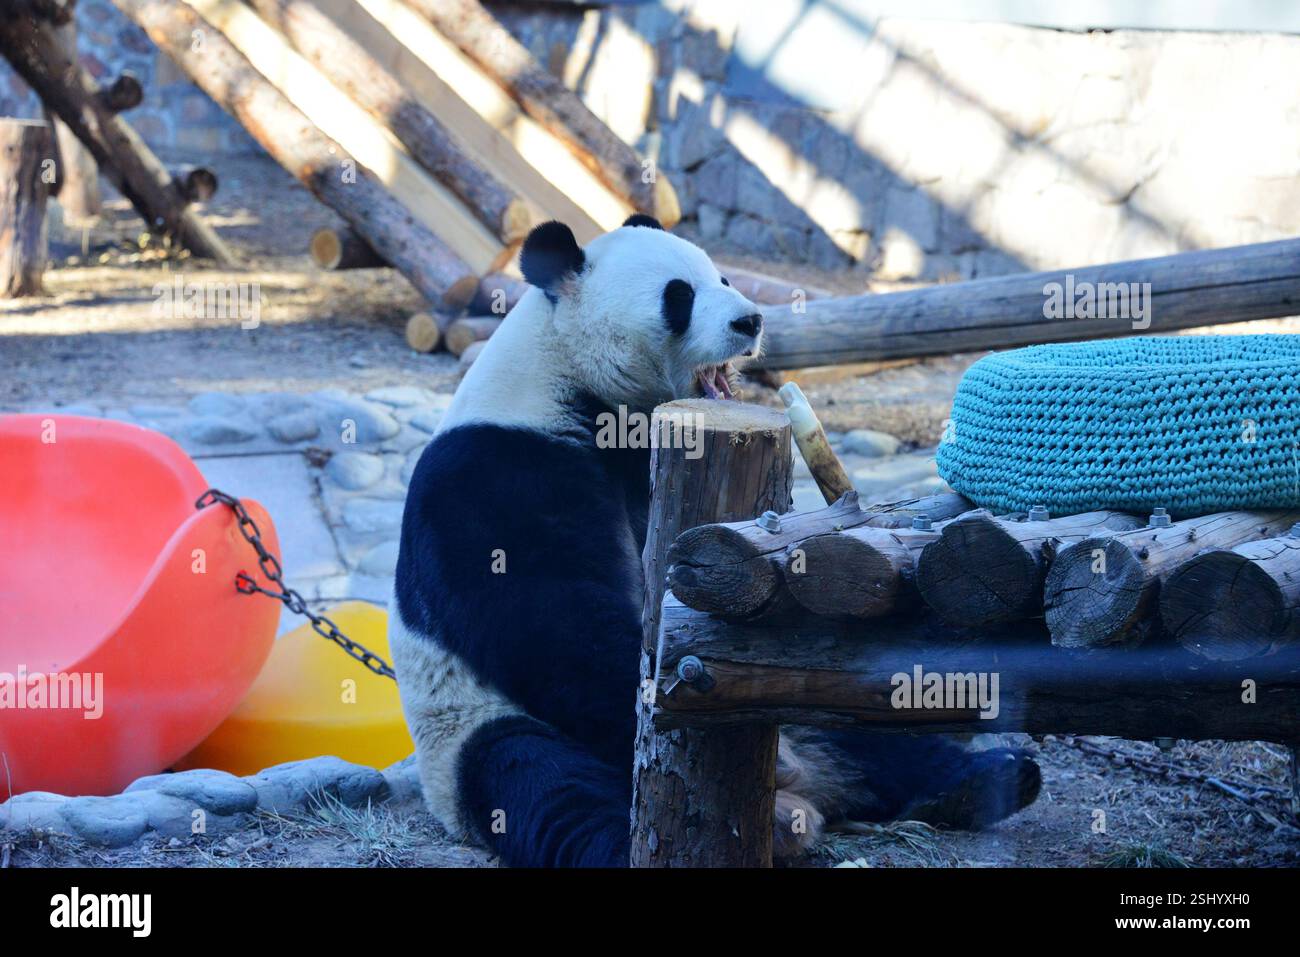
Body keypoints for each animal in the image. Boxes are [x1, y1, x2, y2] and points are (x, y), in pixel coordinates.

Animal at [390, 216, 1041, 867]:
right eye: (679, 296)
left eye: (723, 278)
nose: (750, 321)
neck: (565, 372)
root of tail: (813, 802)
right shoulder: (499, 470)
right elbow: (553, 622)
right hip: (469, 735)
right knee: (552, 786)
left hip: (794, 696)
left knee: (860, 732)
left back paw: (986, 780)